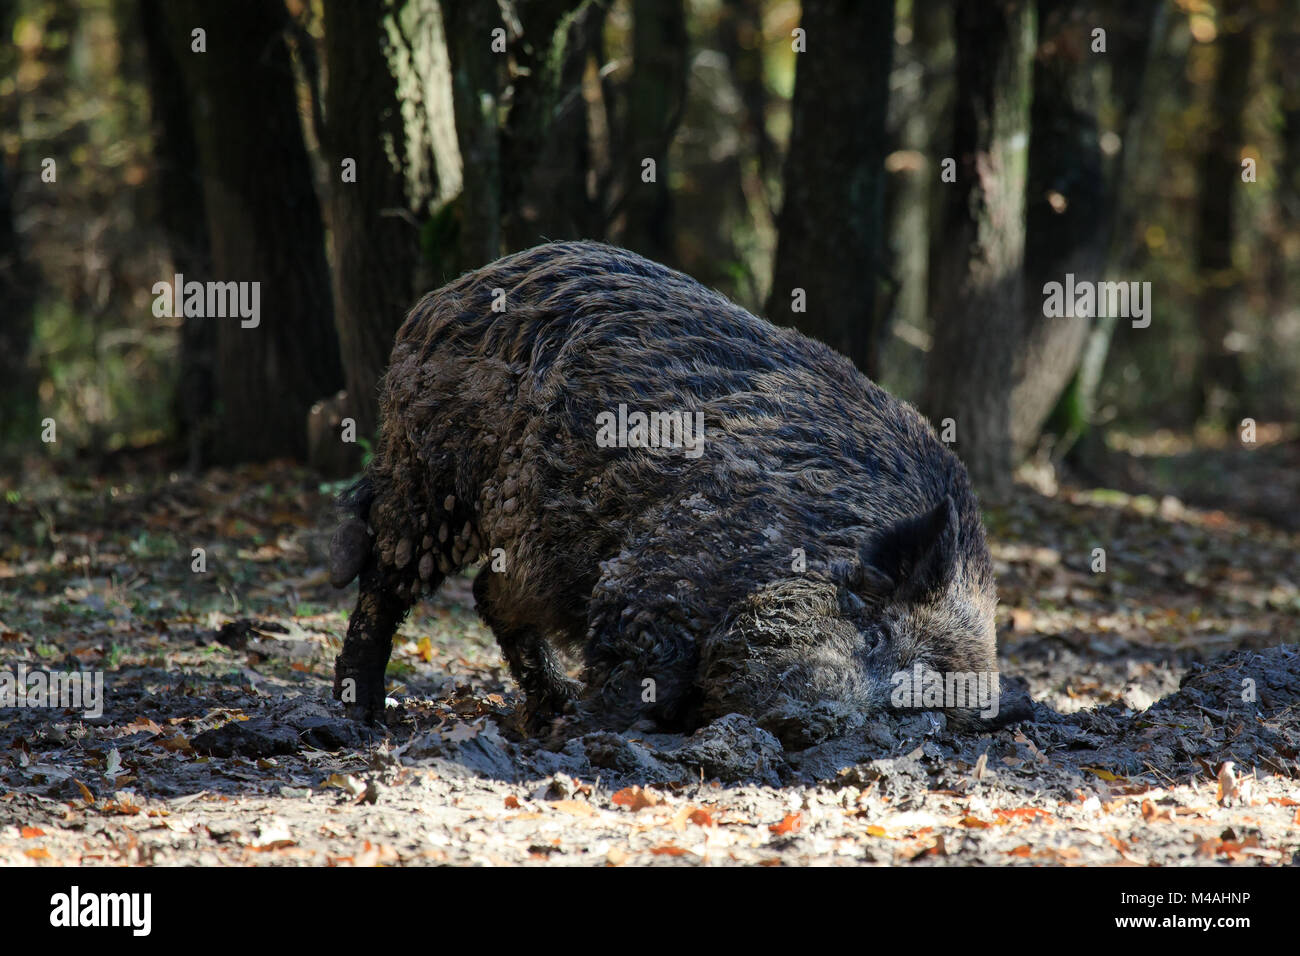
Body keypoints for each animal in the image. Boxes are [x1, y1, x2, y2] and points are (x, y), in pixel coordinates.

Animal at [330, 240, 1008, 746]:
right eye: (877, 635)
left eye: (905, 711)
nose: (811, 722)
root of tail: (456, 288)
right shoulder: (668, 561)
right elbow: (639, 663)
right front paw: (584, 737)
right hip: (432, 473)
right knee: (386, 573)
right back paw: (362, 717)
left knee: (491, 595)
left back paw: (550, 704)